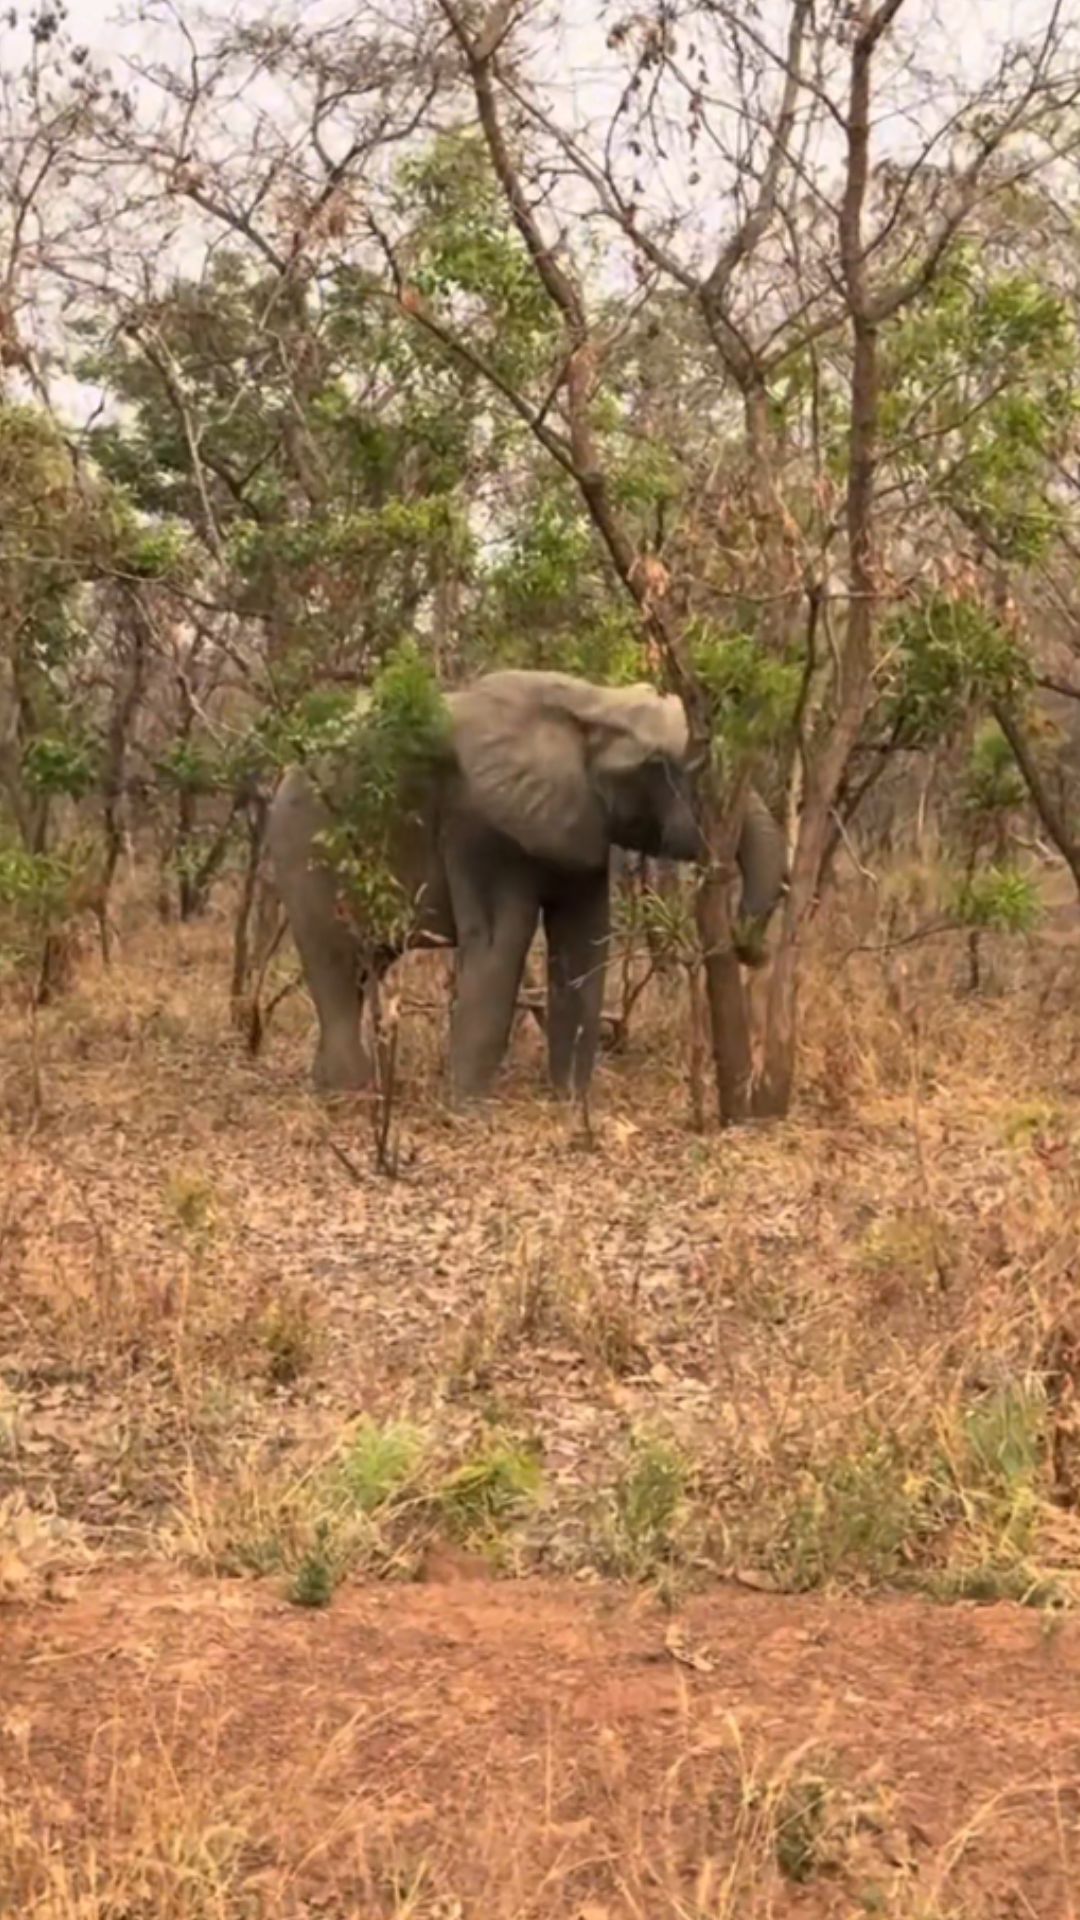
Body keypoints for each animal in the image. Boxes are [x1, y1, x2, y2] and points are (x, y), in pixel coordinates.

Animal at [267, 668, 787, 1099]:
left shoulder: (578, 821)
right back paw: (349, 1094)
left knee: (362, 966)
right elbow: (501, 940)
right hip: (306, 852)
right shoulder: (481, 820)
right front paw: (467, 1108)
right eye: (659, 767)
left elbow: (583, 941)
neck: (593, 706)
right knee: (334, 962)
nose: (750, 947)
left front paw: (571, 1099)